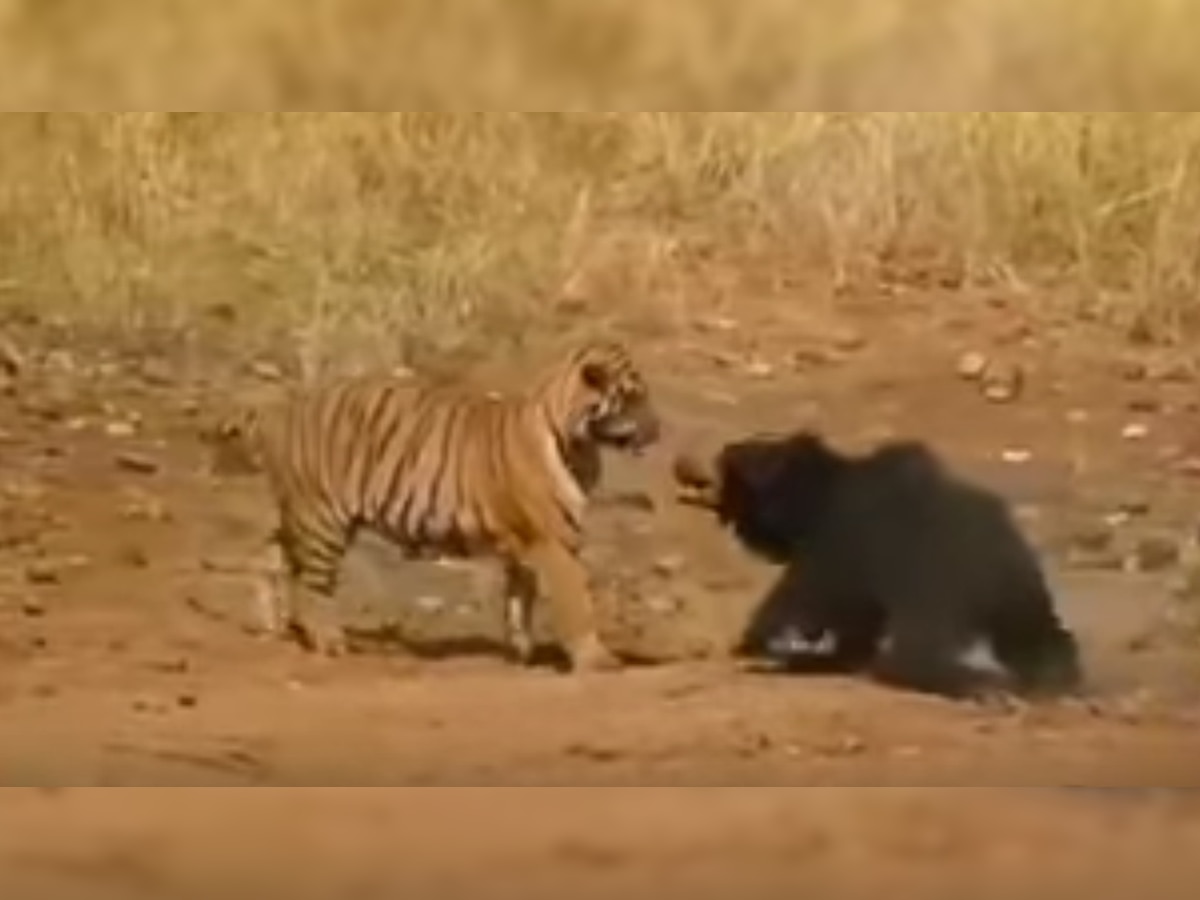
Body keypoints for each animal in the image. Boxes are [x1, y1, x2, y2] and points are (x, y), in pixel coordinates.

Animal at [204, 339, 662, 673]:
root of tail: (289, 406)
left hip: (301, 514)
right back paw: (328, 641)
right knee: (312, 583)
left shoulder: (525, 542)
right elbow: (577, 603)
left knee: (274, 559)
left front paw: (522, 652)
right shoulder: (554, 540)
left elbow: (520, 599)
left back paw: (277, 626)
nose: (658, 431)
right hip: (322, 520)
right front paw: (597, 660)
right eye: (632, 398)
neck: (580, 444)